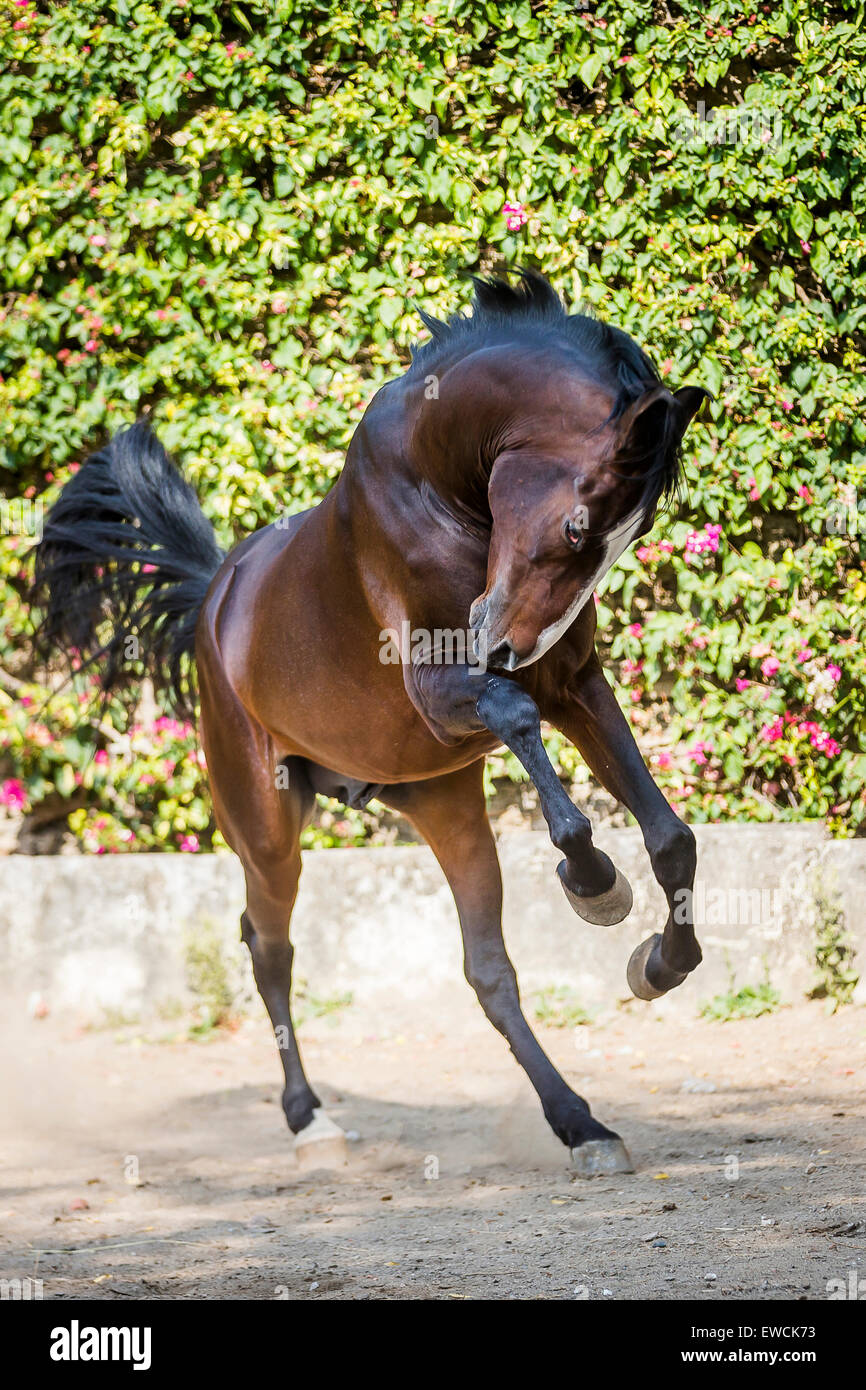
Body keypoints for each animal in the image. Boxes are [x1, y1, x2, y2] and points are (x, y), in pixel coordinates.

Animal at [32, 270, 708, 1177]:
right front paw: (594, 882)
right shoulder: (448, 690)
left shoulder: (575, 685)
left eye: (626, 539)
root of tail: (214, 596)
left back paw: (581, 1123)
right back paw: (308, 1119)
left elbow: (669, 835)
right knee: (268, 949)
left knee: (487, 971)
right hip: (267, 829)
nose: (505, 643)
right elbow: (518, 716)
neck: (436, 478)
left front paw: (660, 964)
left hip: (445, 806)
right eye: (578, 525)